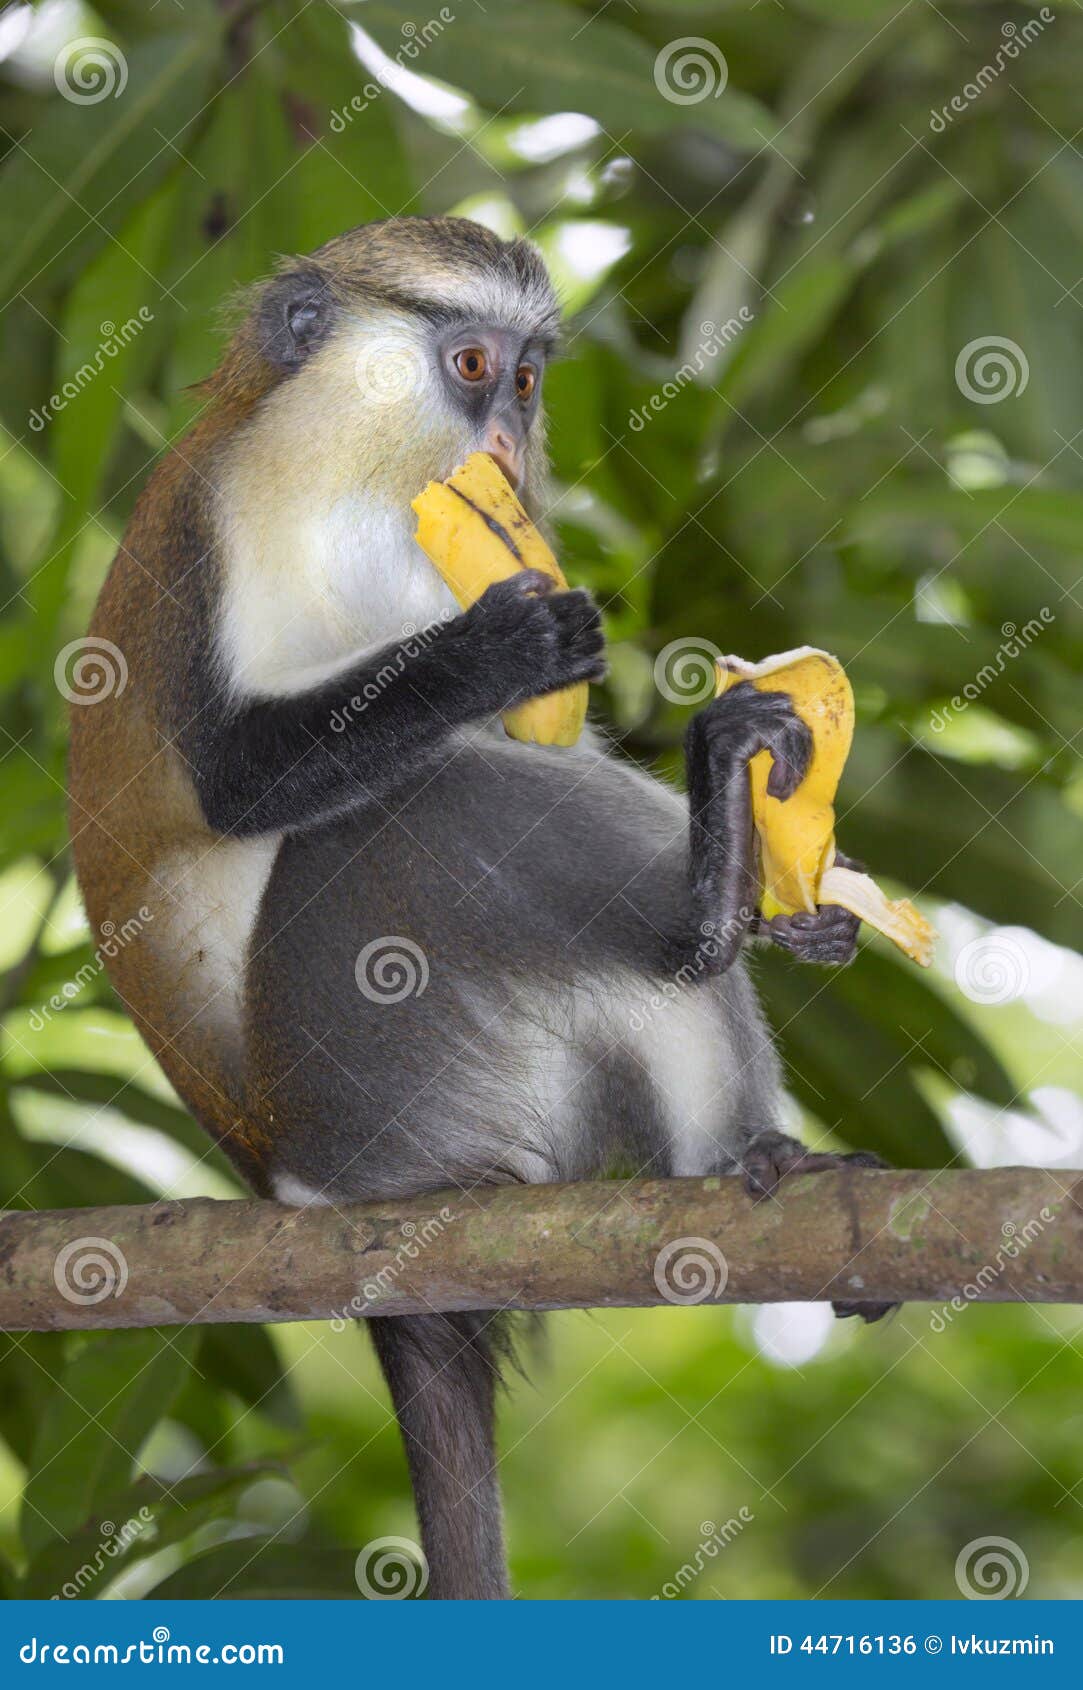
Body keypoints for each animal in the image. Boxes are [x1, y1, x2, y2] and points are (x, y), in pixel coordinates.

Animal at [69, 216, 887, 1602]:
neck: (345, 478)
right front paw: (503, 652)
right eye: (469, 363)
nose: (505, 438)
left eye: (530, 377)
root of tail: (282, 1171)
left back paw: (746, 1145)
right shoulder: (222, 521)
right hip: (361, 1067)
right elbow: (239, 781)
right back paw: (700, 909)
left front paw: (810, 918)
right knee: (422, 802)